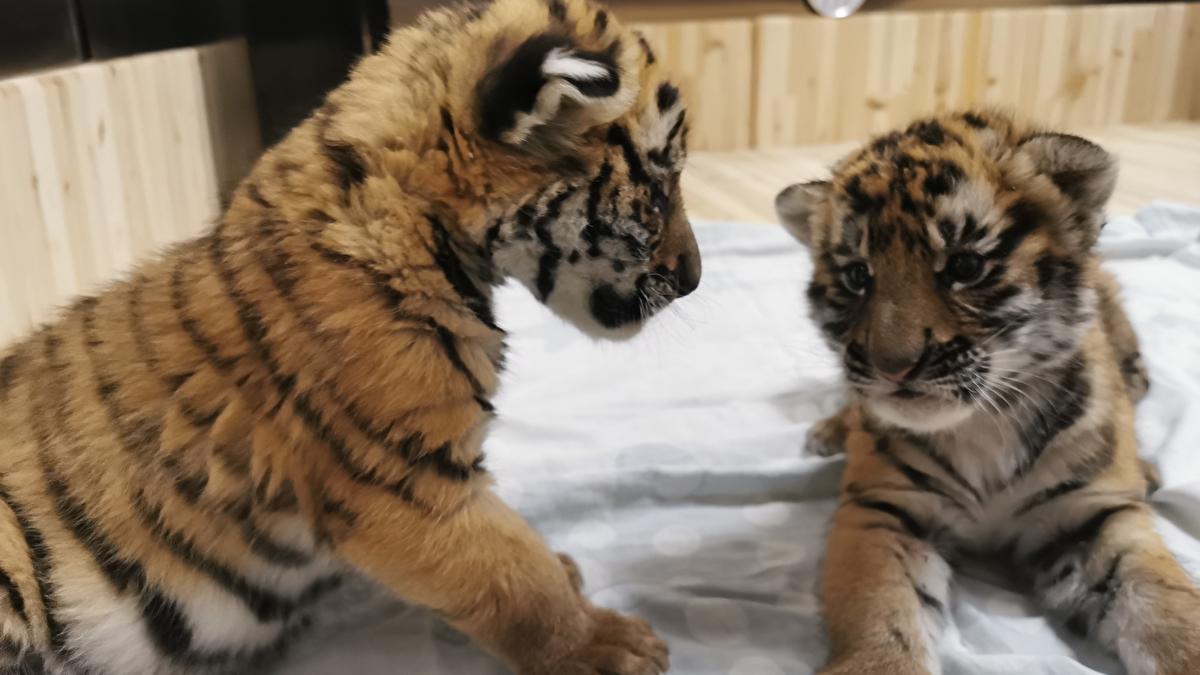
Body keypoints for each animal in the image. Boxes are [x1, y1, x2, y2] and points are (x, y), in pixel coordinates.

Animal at [0, 1, 698, 673]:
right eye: (659, 191)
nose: (693, 279)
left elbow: (516, 543)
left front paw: (568, 573)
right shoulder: (402, 483)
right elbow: (516, 581)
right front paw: (608, 644)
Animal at [774, 110, 1200, 675]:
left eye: (965, 267)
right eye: (857, 275)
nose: (893, 368)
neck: (984, 422)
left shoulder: (1089, 516)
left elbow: (1165, 605)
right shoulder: (884, 509)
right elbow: (878, 610)